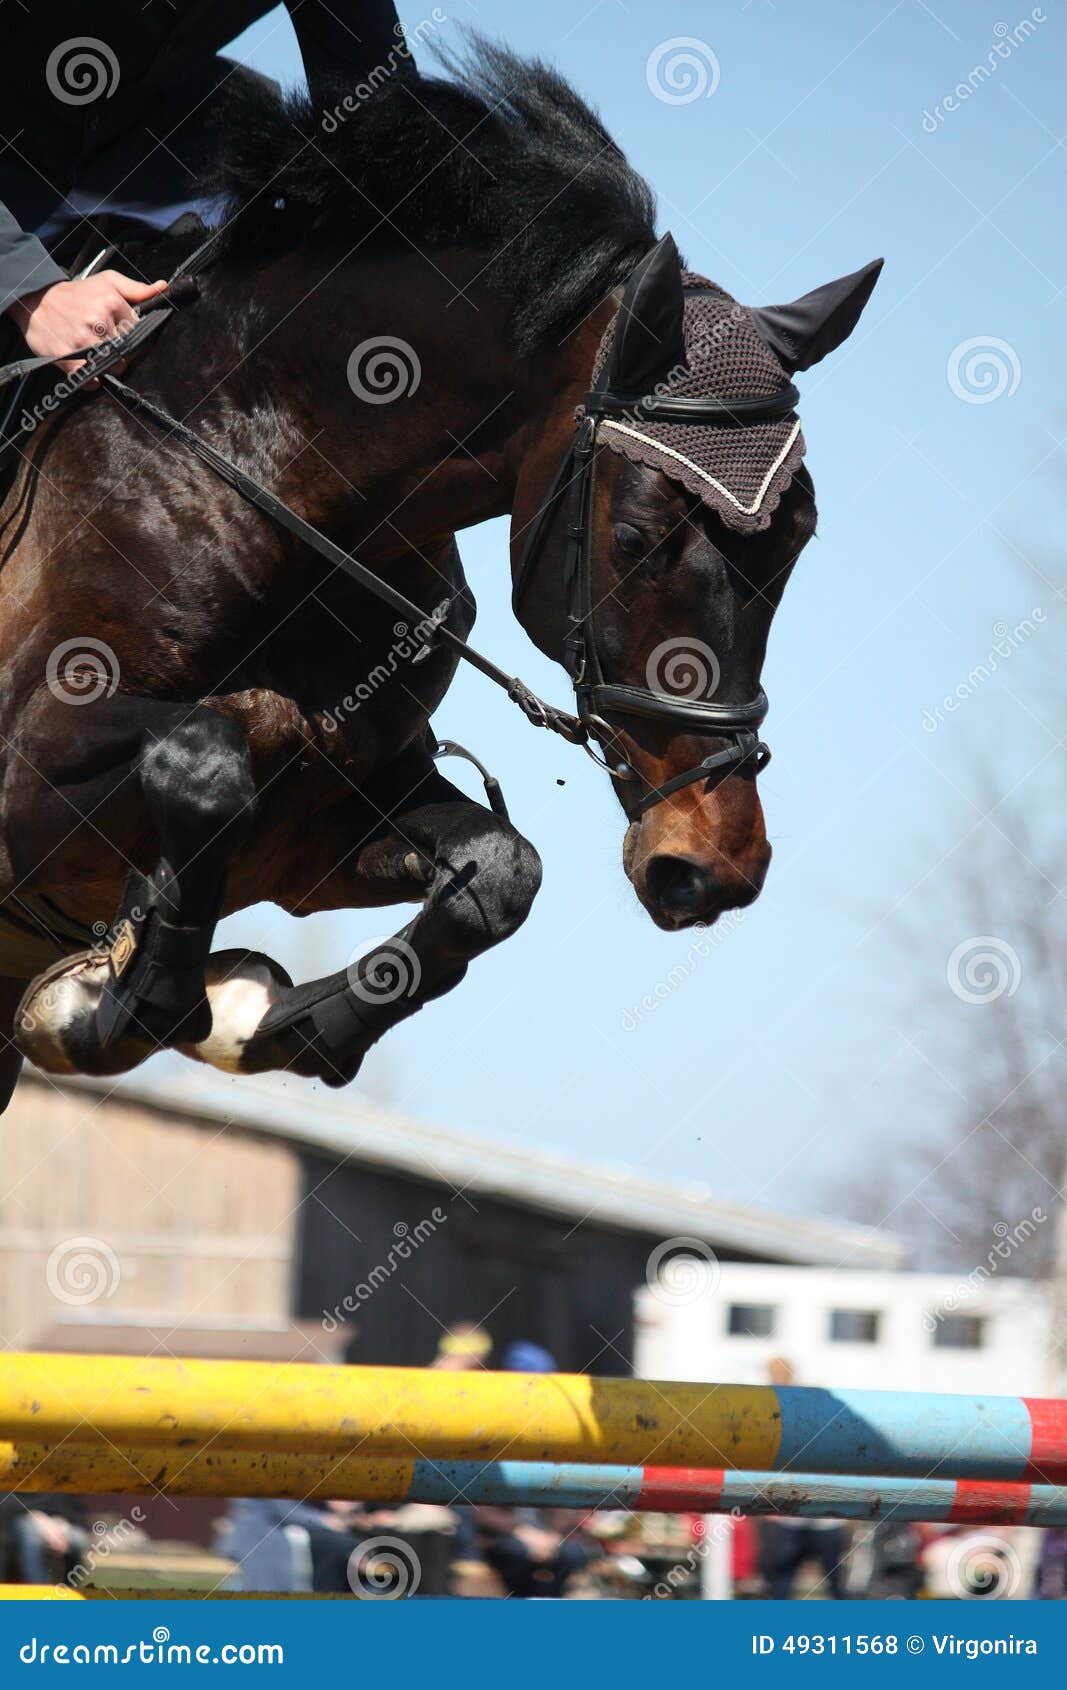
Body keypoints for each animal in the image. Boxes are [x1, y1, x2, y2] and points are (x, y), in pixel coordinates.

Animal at [0, 43, 881, 1110]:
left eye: (799, 539)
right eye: (636, 536)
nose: (712, 863)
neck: (274, 487)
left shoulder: (317, 828)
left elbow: (500, 870)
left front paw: (272, 1023)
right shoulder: (27, 773)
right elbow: (207, 759)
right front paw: (110, 1006)